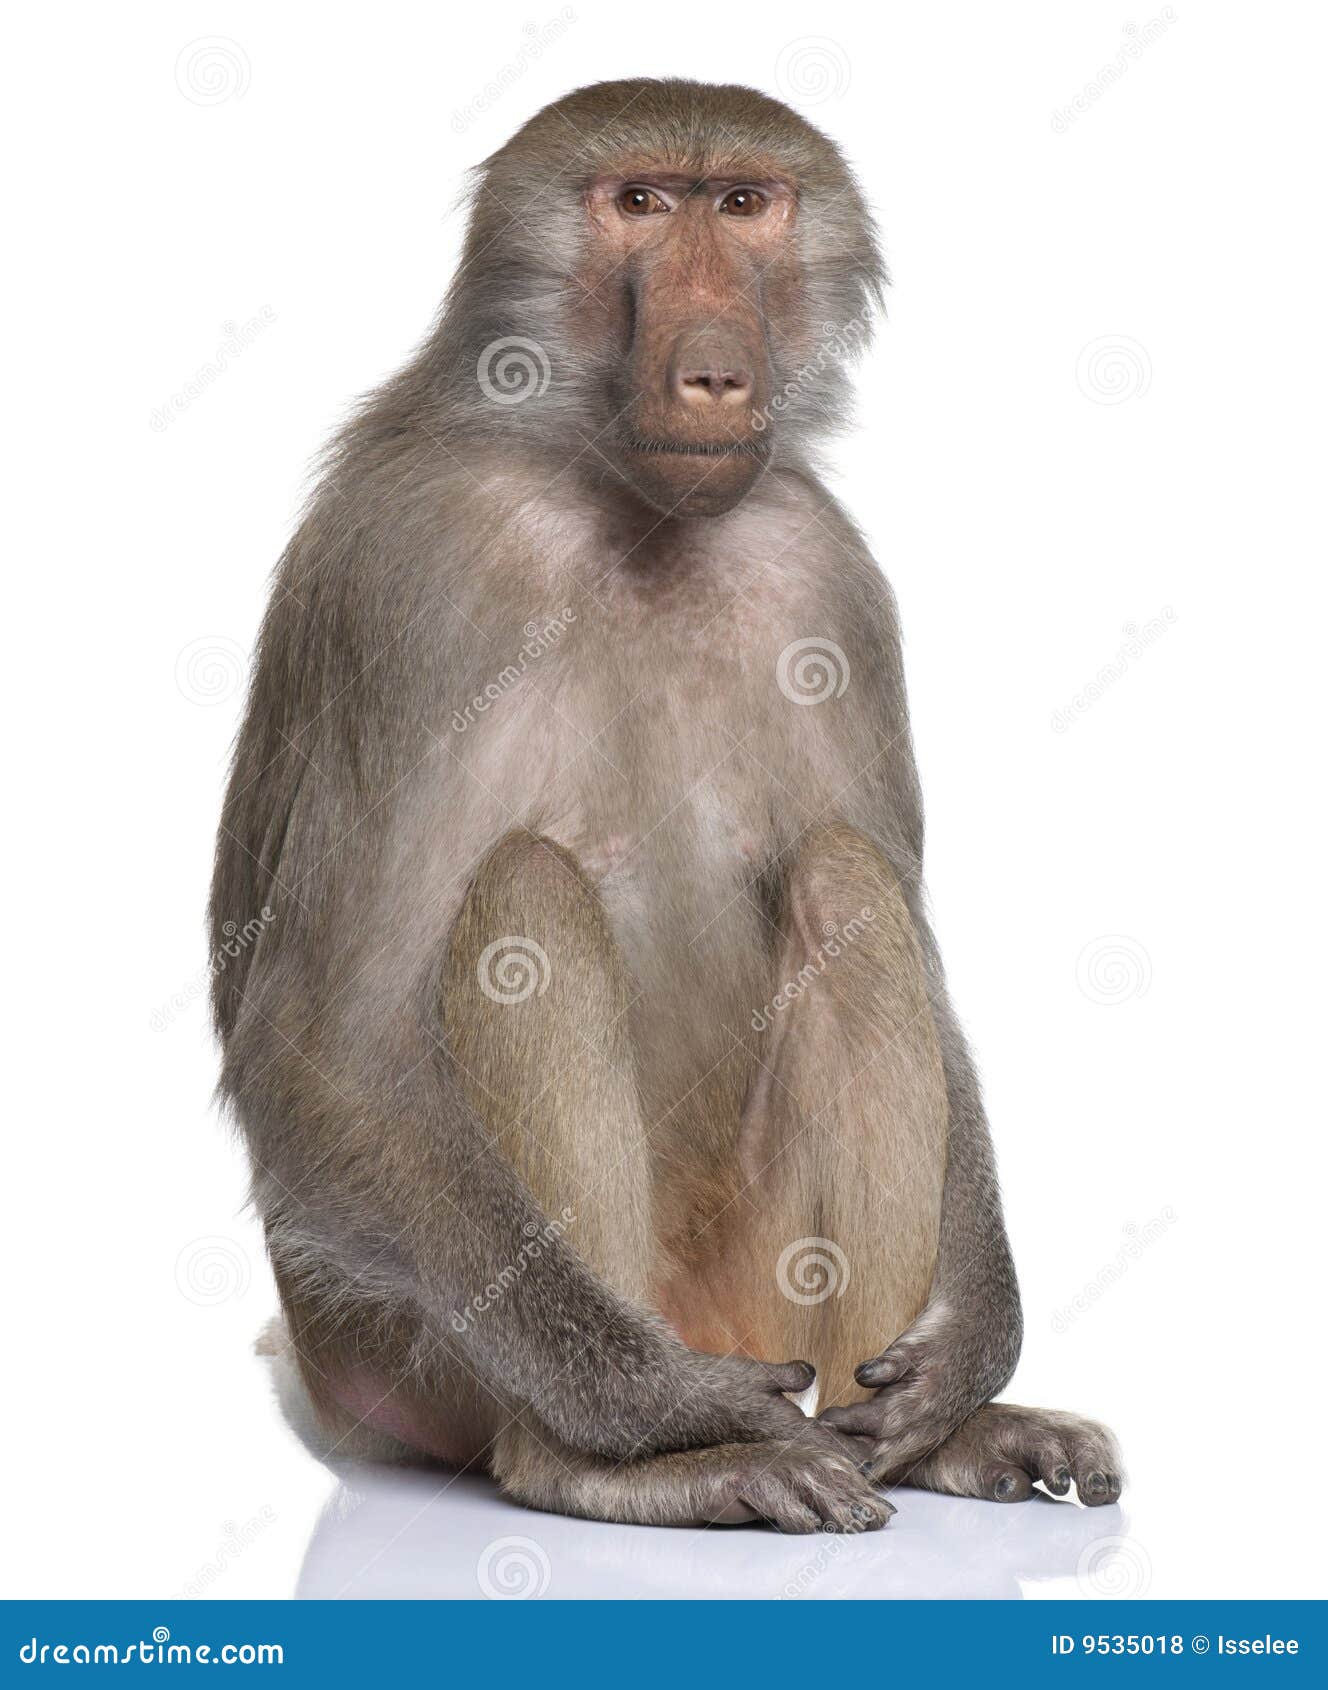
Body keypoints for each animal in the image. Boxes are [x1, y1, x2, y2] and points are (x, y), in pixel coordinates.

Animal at [212, 77, 1122, 1534]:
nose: (713, 372)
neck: (619, 496)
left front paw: (975, 1349)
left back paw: (930, 1443)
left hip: (772, 1297)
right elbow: (322, 1034)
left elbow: (906, 934)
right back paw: (620, 1458)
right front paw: (664, 1407)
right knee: (522, 897)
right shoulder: (415, 564)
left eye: (744, 204)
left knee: (847, 884)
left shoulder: (825, 574)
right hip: (416, 1346)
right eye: (638, 202)